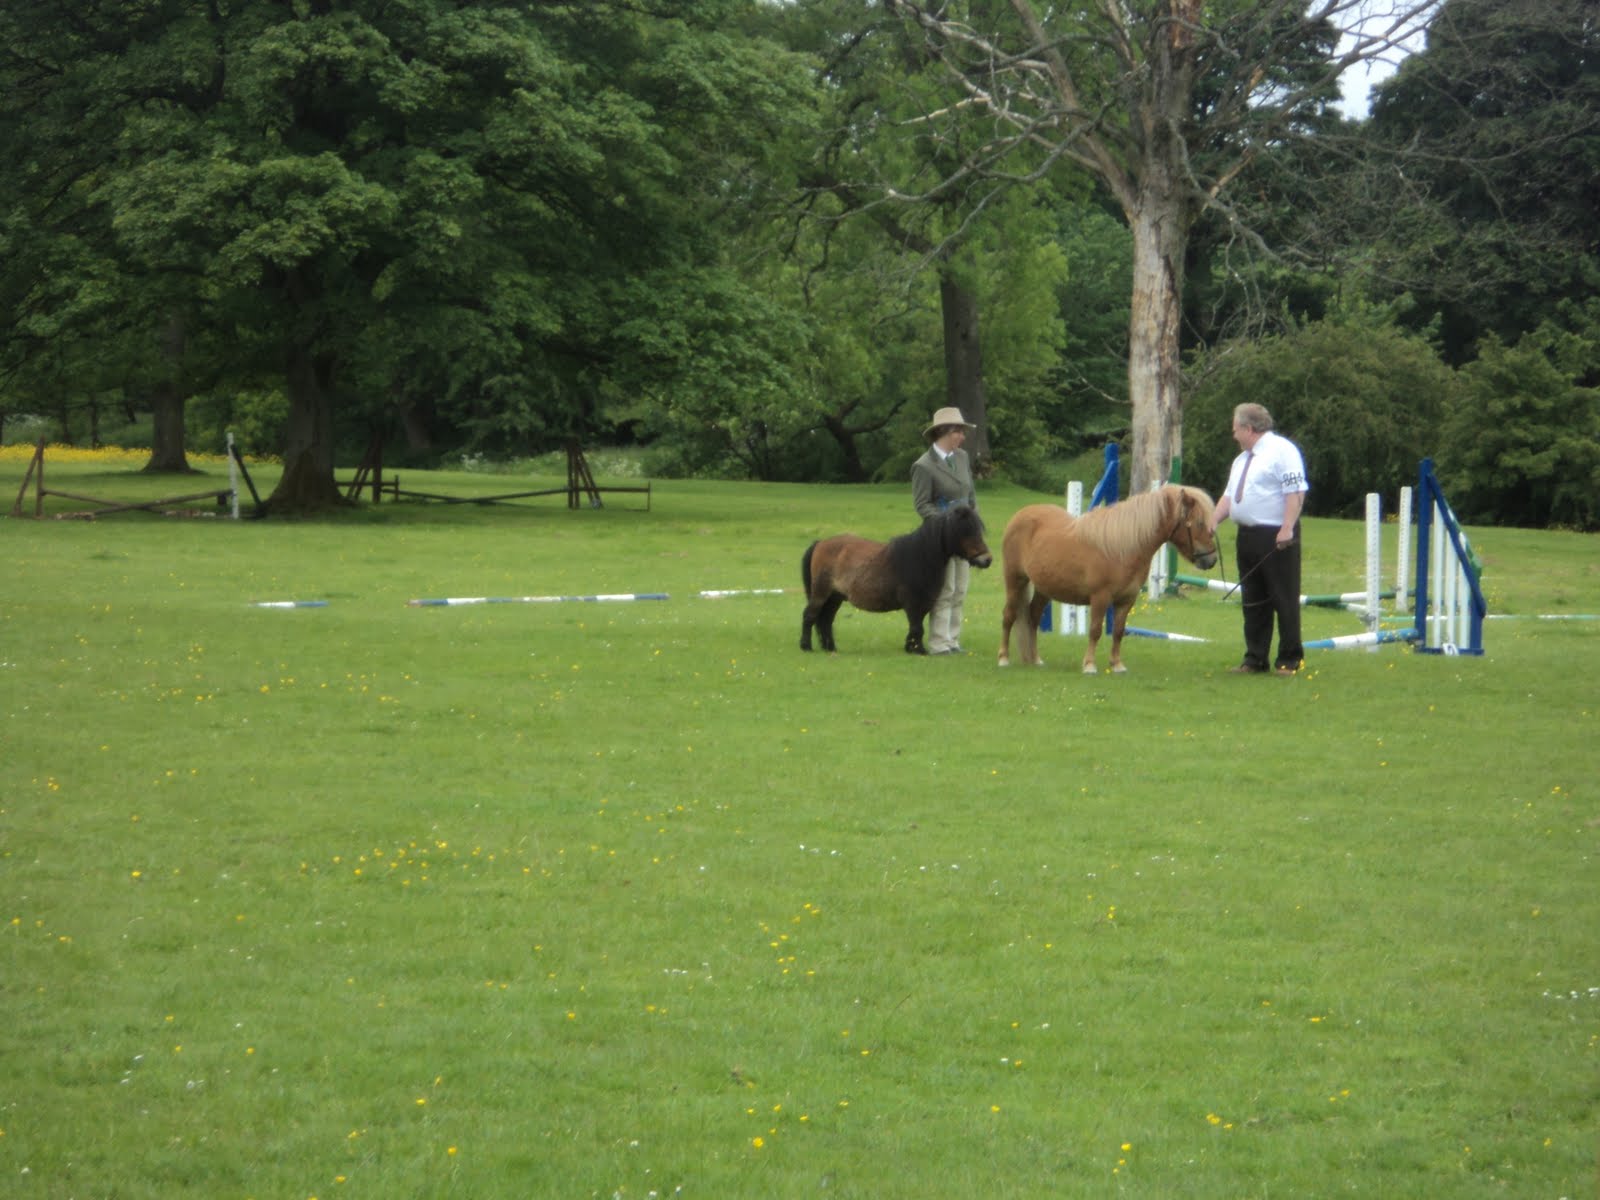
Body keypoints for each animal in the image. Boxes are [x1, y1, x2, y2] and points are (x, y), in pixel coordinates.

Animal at [800, 505, 993, 654]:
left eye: (978, 530)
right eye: (965, 531)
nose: (987, 559)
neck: (921, 556)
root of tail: (821, 543)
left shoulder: (924, 603)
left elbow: (917, 627)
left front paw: (912, 647)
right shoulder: (913, 603)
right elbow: (917, 626)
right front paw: (918, 650)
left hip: (835, 597)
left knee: (826, 620)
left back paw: (830, 648)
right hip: (821, 593)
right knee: (810, 616)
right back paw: (806, 646)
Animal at [998, 485, 1219, 674]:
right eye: (1199, 523)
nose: (1211, 560)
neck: (1123, 548)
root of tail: (1021, 515)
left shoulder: (1126, 600)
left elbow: (1118, 631)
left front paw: (1117, 665)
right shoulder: (1100, 597)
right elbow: (1095, 630)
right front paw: (1089, 665)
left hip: (1044, 589)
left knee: (1033, 618)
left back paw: (1035, 659)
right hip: (1015, 580)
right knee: (1009, 615)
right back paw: (1003, 658)